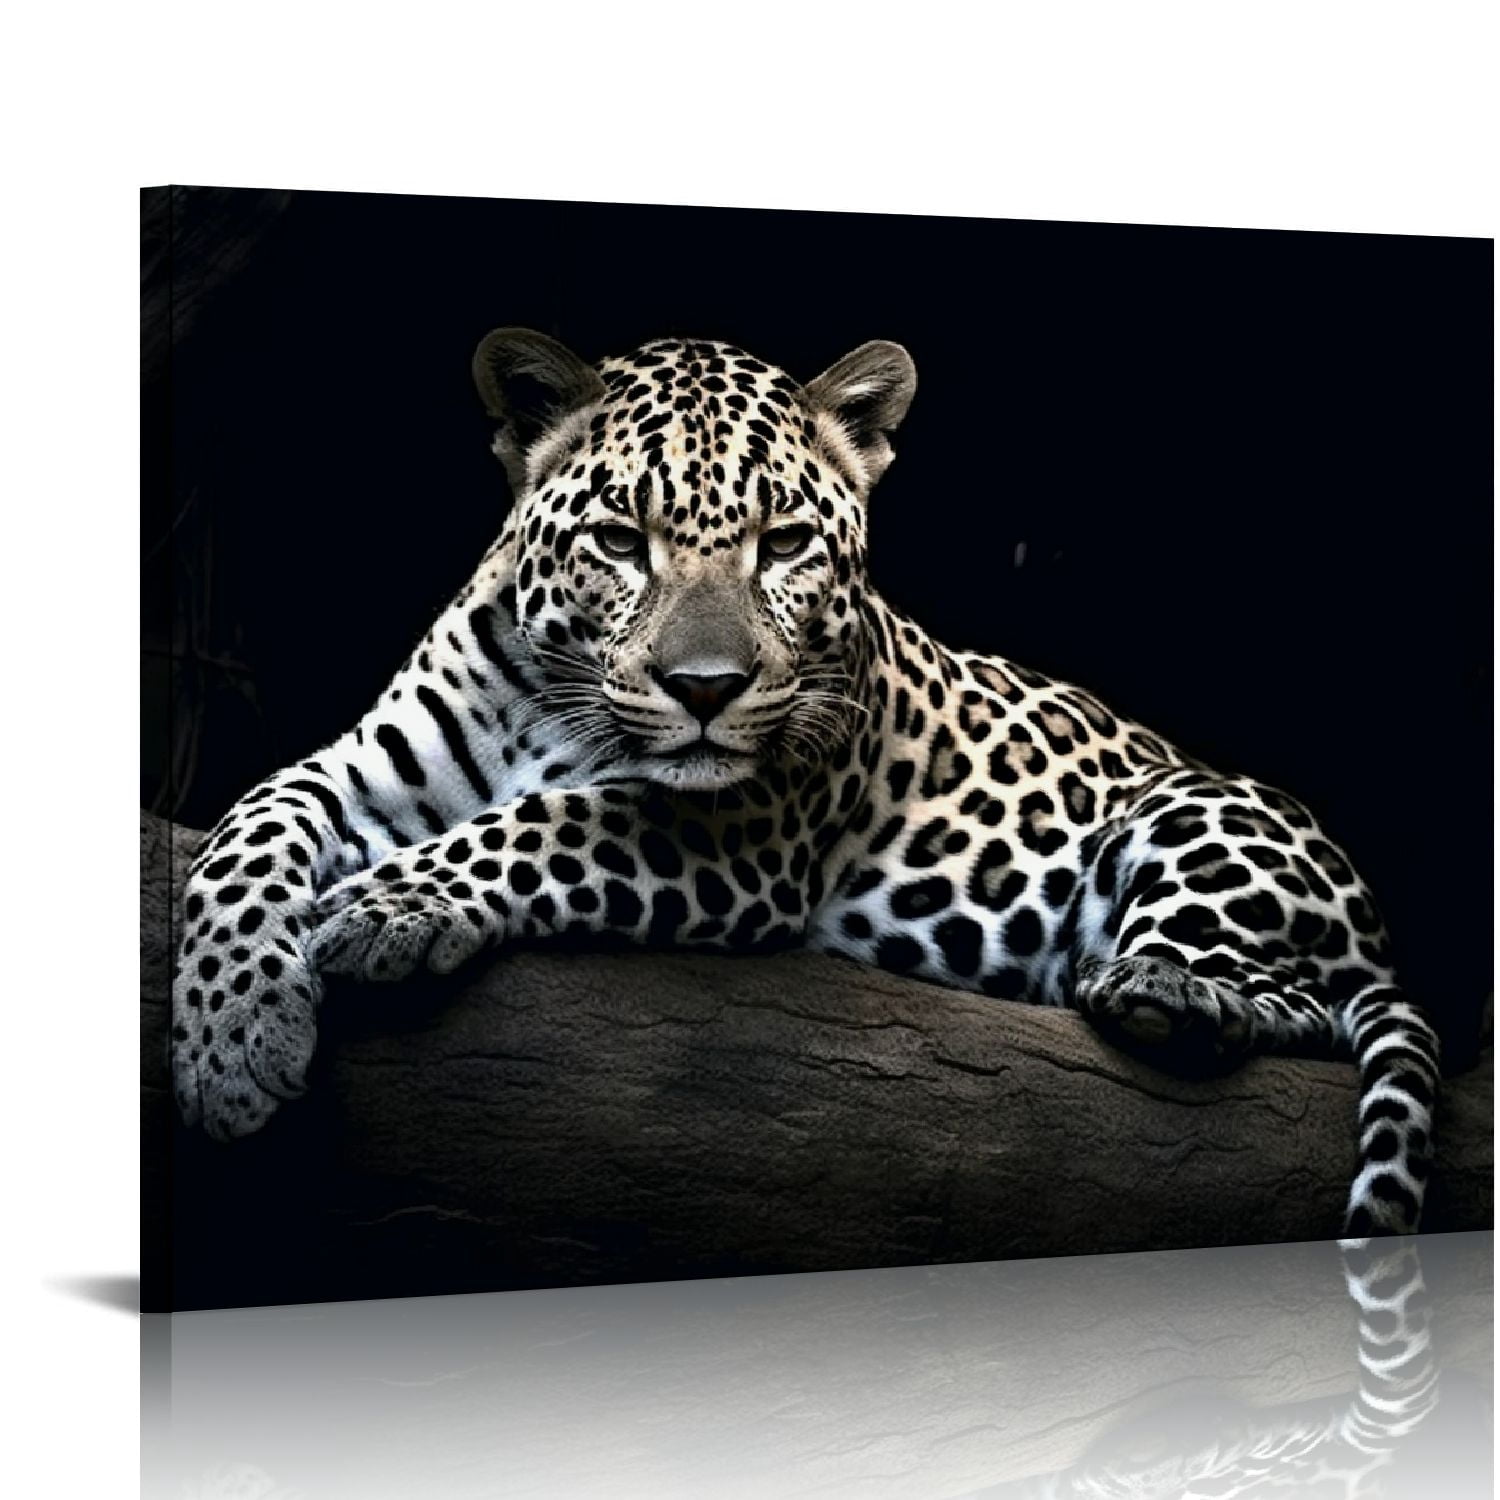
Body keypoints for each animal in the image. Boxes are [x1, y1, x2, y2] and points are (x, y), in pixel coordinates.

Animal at [169, 327, 1440, 1238]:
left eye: (783, 545)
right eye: (621, 542)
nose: (706, 687)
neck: (552, 701)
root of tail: (1376, 935)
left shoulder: (739, 830)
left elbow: (549, 819)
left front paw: (387, 907)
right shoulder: (357, 773)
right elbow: (245, 832)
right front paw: (233, 1045)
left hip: (1196, 810)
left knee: (1282, 1008)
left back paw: (1160, 991)